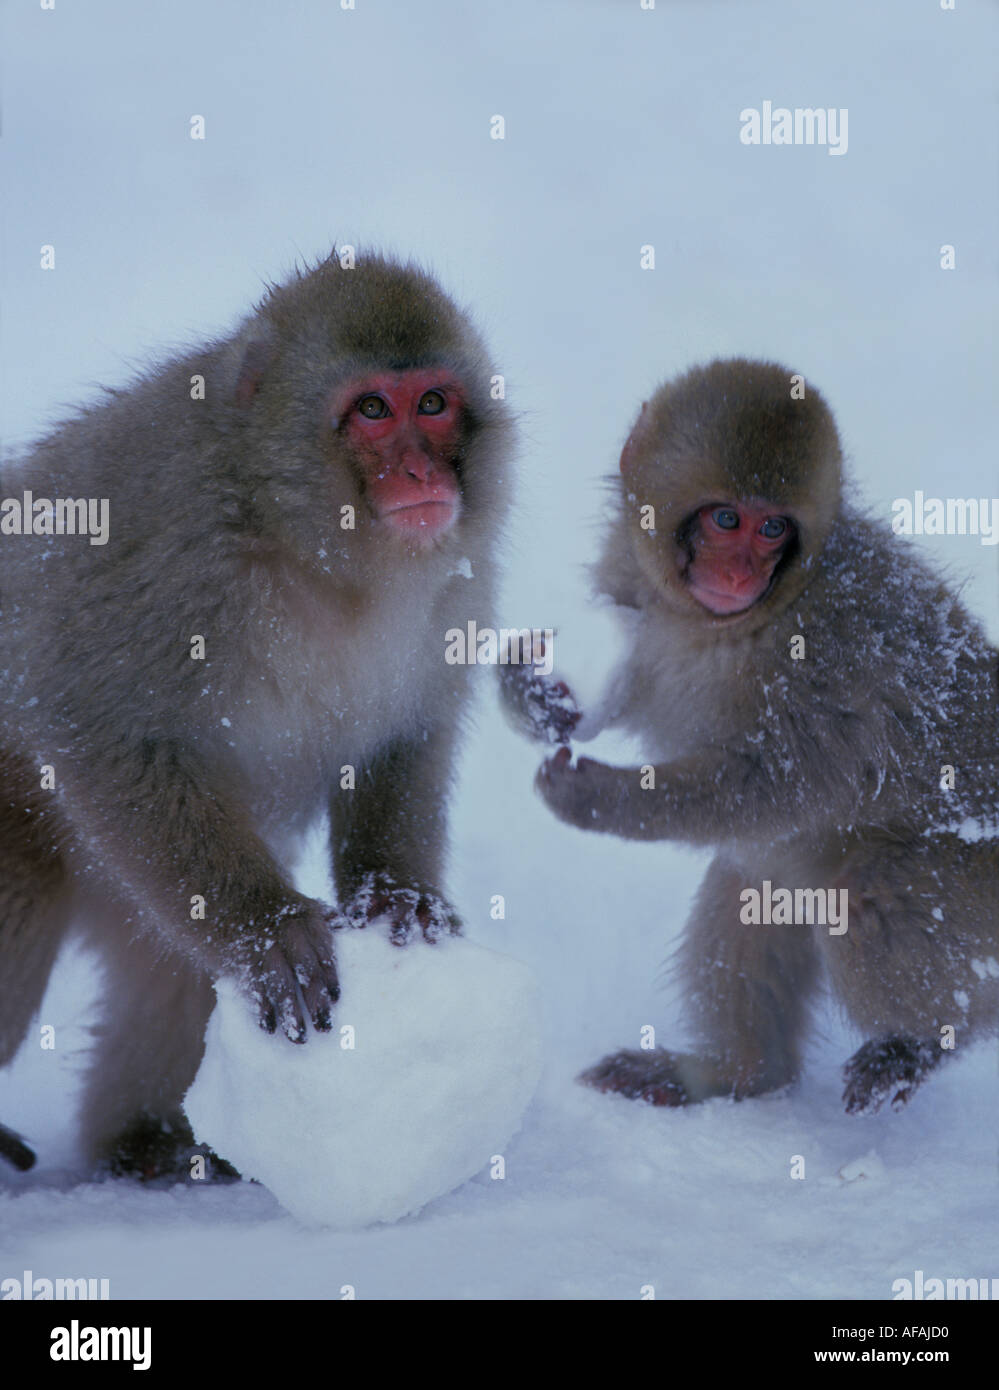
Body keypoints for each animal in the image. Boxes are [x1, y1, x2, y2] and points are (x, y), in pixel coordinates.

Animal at [0, 251, 514, 1176]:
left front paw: (399, 897)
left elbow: (404, 736)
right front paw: (268, 929)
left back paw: (144, 1144)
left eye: (432, 403)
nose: (421, 473)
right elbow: (99, 729)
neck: (315, 551)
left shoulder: (456, 583)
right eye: (372, 410)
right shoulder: (174, 552)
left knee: (166, 956)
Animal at [501, 358, 998, 1116]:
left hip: (977, 882)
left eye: (773, 531)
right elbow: (633, 674)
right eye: (726, 518)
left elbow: (776, 783)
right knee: (749, 881)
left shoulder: (827, 654)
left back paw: (917, 1045)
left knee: (868, 892)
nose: (738, 573)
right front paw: (536, 695)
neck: (729, 624)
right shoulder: (638, 582)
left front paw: (602, 799)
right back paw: (738, 1073)